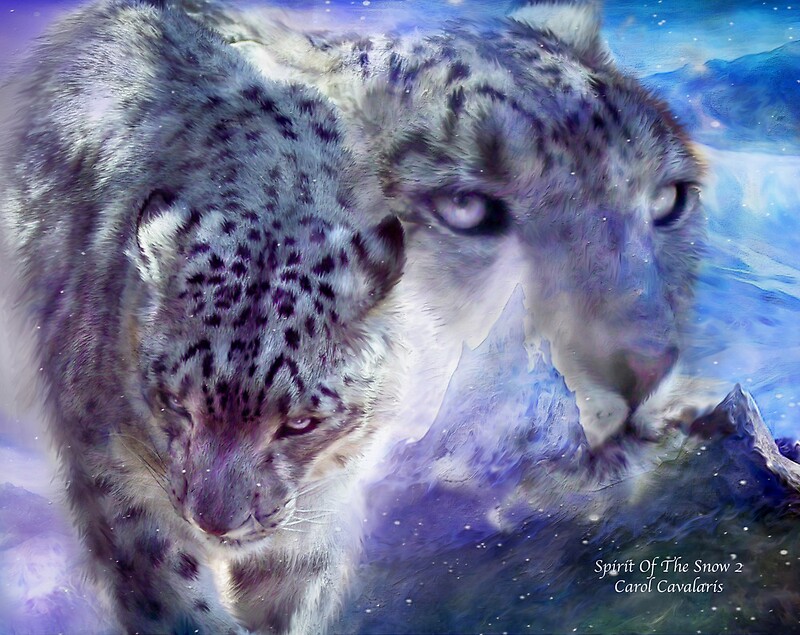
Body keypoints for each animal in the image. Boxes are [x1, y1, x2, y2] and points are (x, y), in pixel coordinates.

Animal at [0, 1, 405, 633]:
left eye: (301, 424)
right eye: (173, 402)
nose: (216, 520)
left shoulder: (320, 515)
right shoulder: (110, 474)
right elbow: (170, 595)